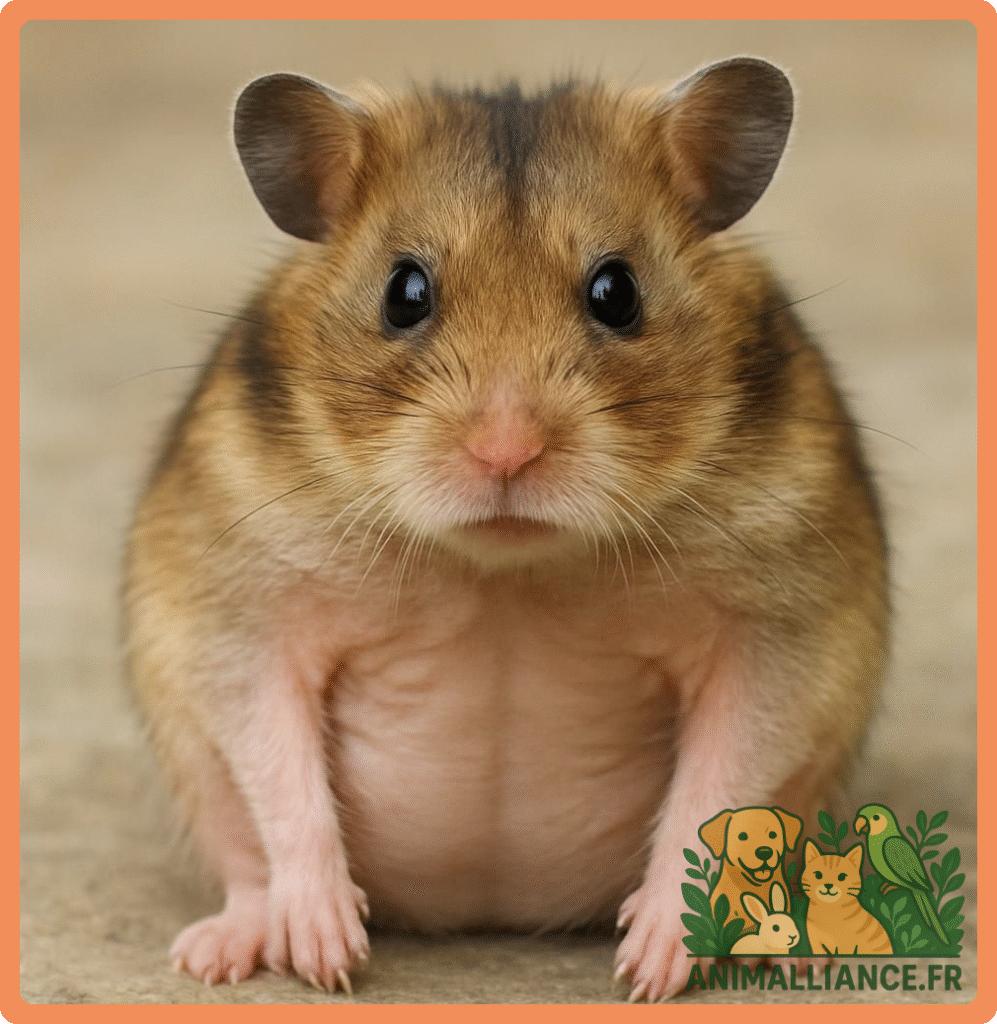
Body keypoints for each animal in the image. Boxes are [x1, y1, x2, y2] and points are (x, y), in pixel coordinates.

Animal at [123, 58, 888, 1002]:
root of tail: (487, 909)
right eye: (404, 293)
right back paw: (218, 953)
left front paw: (647, 972)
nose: (505, 454)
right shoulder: (240, 628)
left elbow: (721, 788)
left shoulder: (775, 639)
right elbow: (281, 769)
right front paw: (329, 958)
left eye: (617, 292)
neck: (503, 564)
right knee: (246, 862)